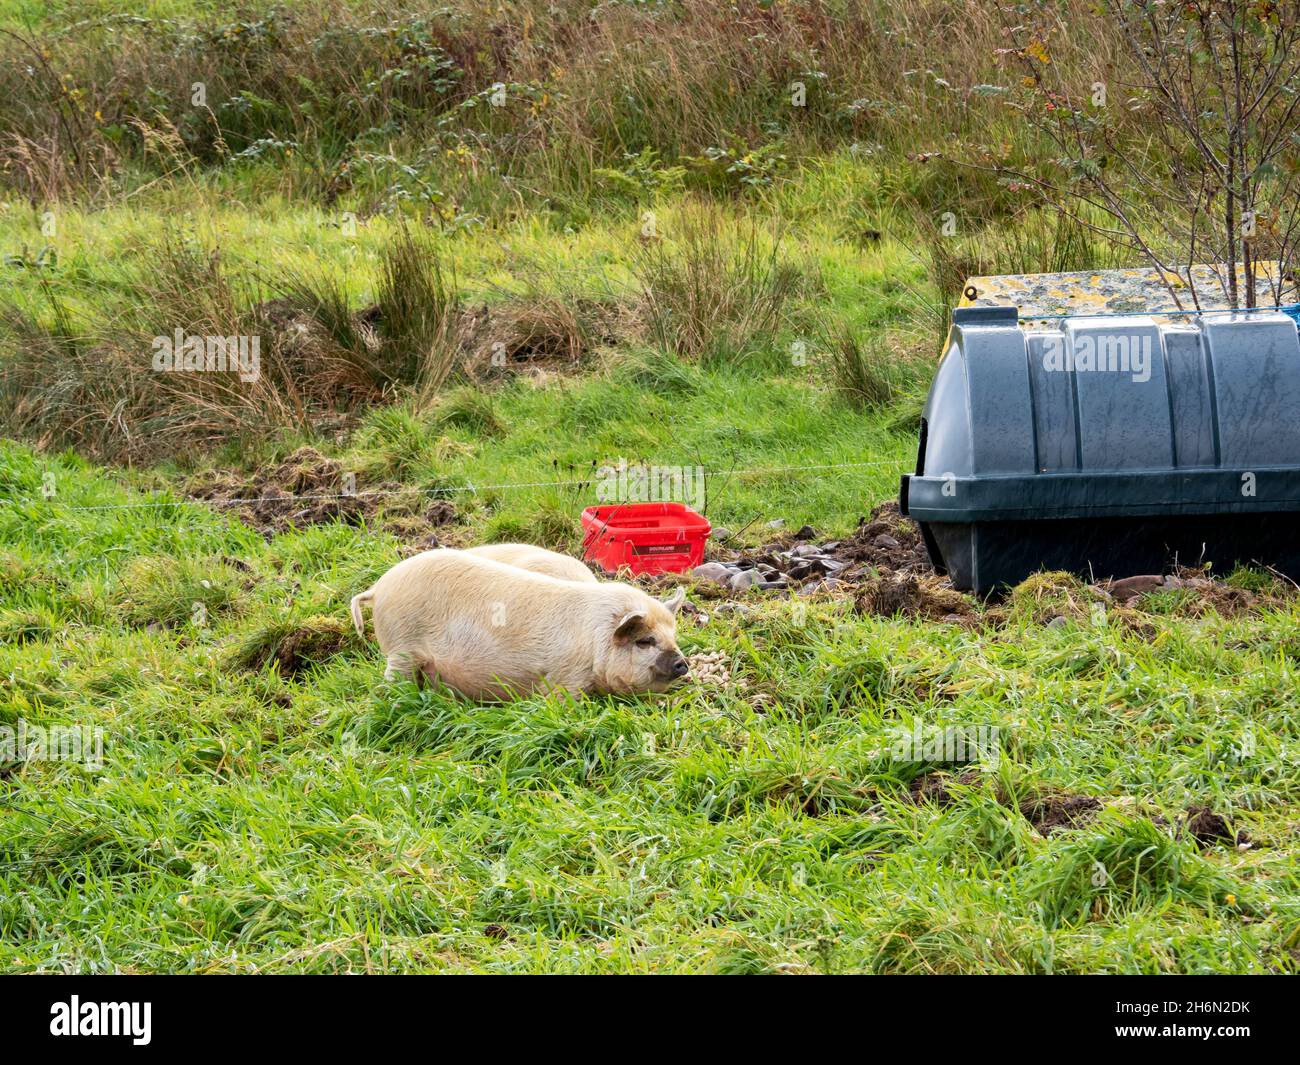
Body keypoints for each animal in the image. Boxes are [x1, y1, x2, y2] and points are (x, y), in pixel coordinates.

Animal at [350, 548, 688, 699]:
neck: (595, 638)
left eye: (673, 636)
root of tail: (379, 587)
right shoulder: (565, 676)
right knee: (394, 680)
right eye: (645, 641)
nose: (682, 663)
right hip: (402, 647)